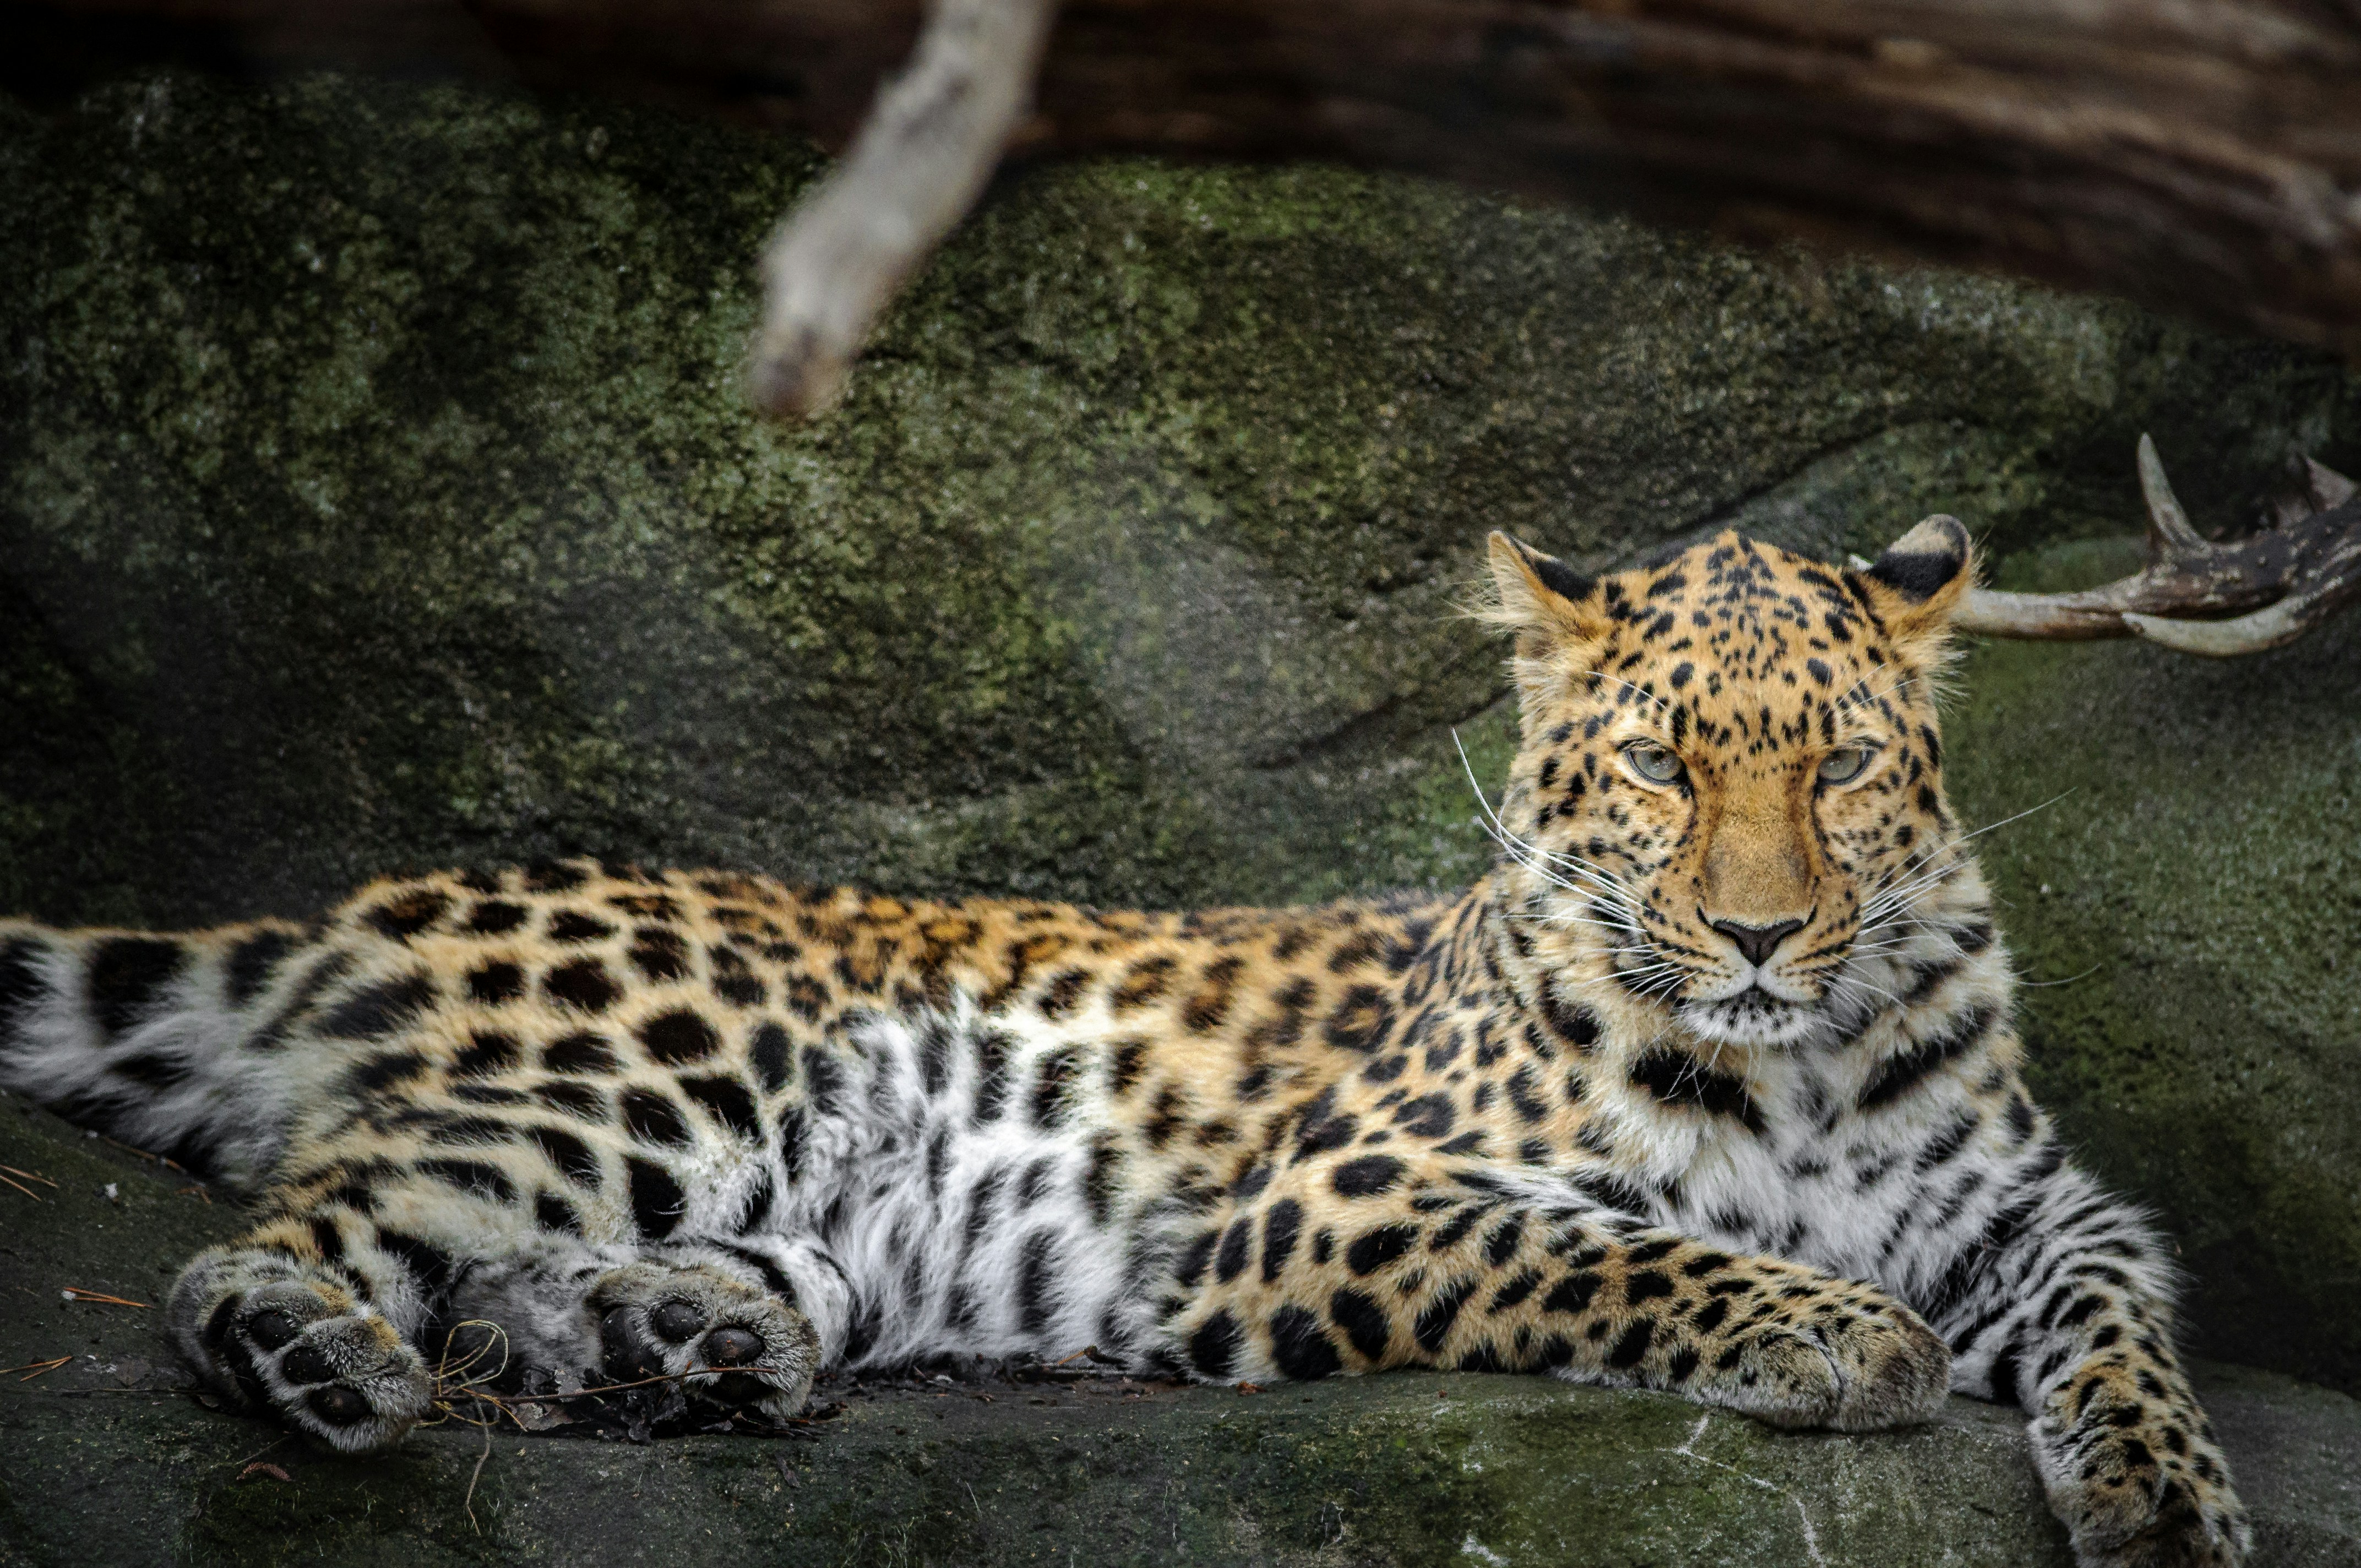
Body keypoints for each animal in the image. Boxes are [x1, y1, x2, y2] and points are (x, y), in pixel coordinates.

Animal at [0, 518, 2246, 1567]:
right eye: (1663, 768)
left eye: (1840, 766)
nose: (1765, 927)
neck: (1795, 1062)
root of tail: (367, 899)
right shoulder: (1348, 1194)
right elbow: (1639, 1246)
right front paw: (1841, 1332)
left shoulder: (2033, 1208)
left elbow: (2123, 1309)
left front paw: (2158, 1491)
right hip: (669, 1073)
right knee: (307, 1213)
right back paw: (311, 1350)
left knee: (534, 1275)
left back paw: (683, 1337)